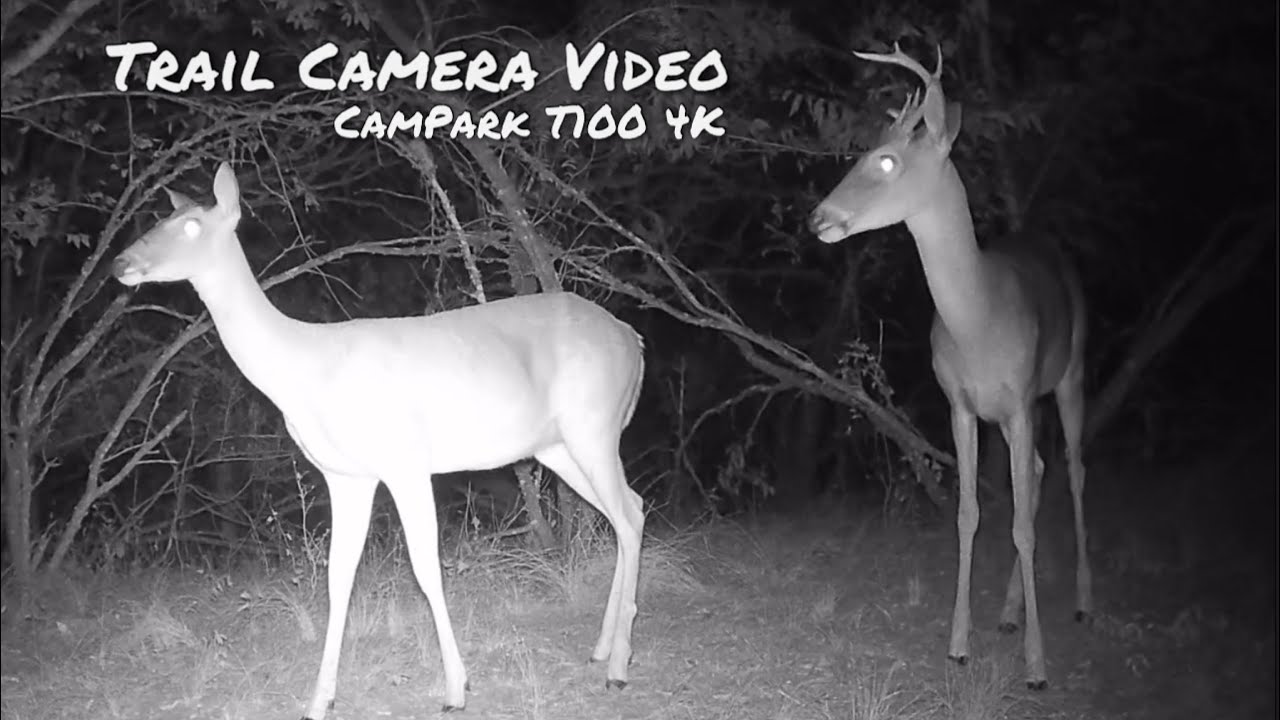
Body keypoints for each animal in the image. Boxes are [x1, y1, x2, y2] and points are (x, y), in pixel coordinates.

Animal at [112, 162, 647, 718]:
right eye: (162, 218)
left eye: (193, 224)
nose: (120, 262)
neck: (306, 369)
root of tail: (634, 340)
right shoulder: (346, 475)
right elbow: (337, 577)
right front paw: (319, 699)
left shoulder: (404, 462)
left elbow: (426, 568)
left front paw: (456, 688)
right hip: (557, 445)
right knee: (629, 508)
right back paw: (602, 648)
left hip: (594, 421)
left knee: (629, 516)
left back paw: (618, 666)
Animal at [808, 43, 1092, 689]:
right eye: (860, 153)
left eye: (886, 160)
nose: (818, 218)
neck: (978, 322)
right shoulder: (960, 405)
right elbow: (970, 514)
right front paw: (959, 645)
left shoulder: (1018, 403)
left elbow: (1022, 526)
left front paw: (1037, 667)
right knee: (1041, 470)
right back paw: (1009, 613)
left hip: (1070, 375)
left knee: (1075, 468)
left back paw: (1084, 603)